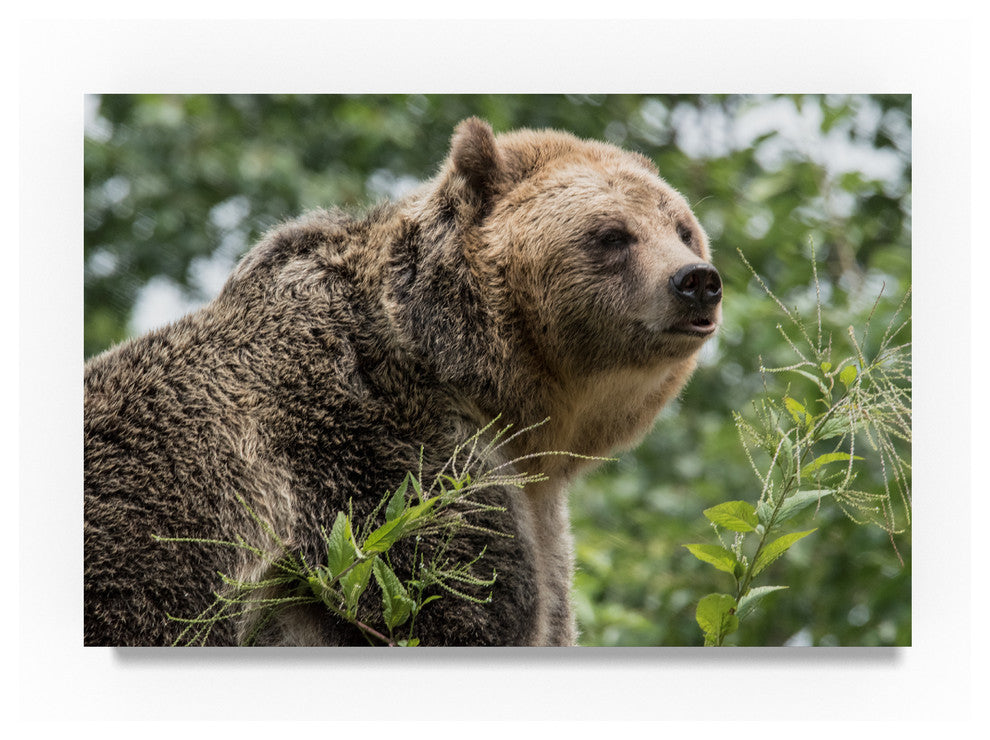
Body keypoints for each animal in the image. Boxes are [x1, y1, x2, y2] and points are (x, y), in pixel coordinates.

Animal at [83, 117, 722, 646]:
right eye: (612, 234)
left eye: (682, 228)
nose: (697, 281)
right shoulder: (378, 463)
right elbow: (448, 597)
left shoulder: (540, 513)